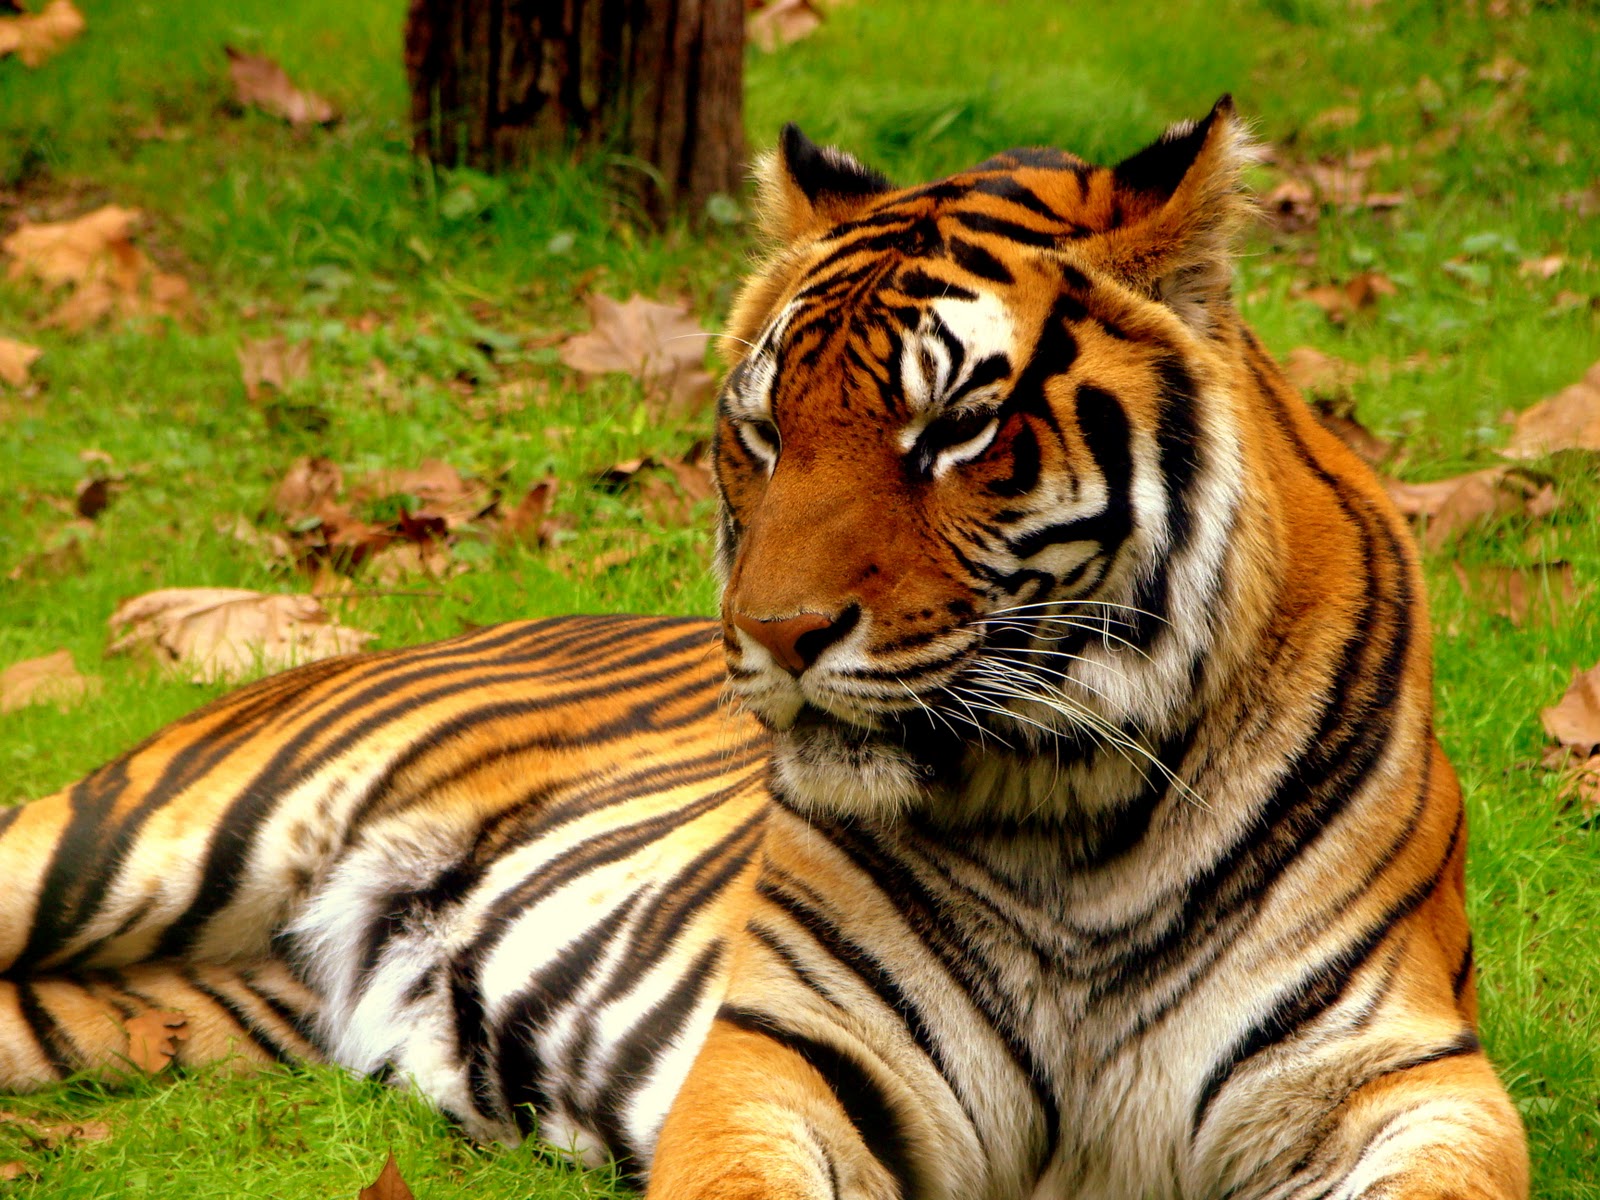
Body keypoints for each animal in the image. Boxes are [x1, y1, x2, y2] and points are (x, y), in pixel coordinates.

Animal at [0, 96, 1529, 1199]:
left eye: (955, 429)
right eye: (762, 429)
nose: (777, 634)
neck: (1075, 823)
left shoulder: (1390, 1073)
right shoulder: (794, 1055)